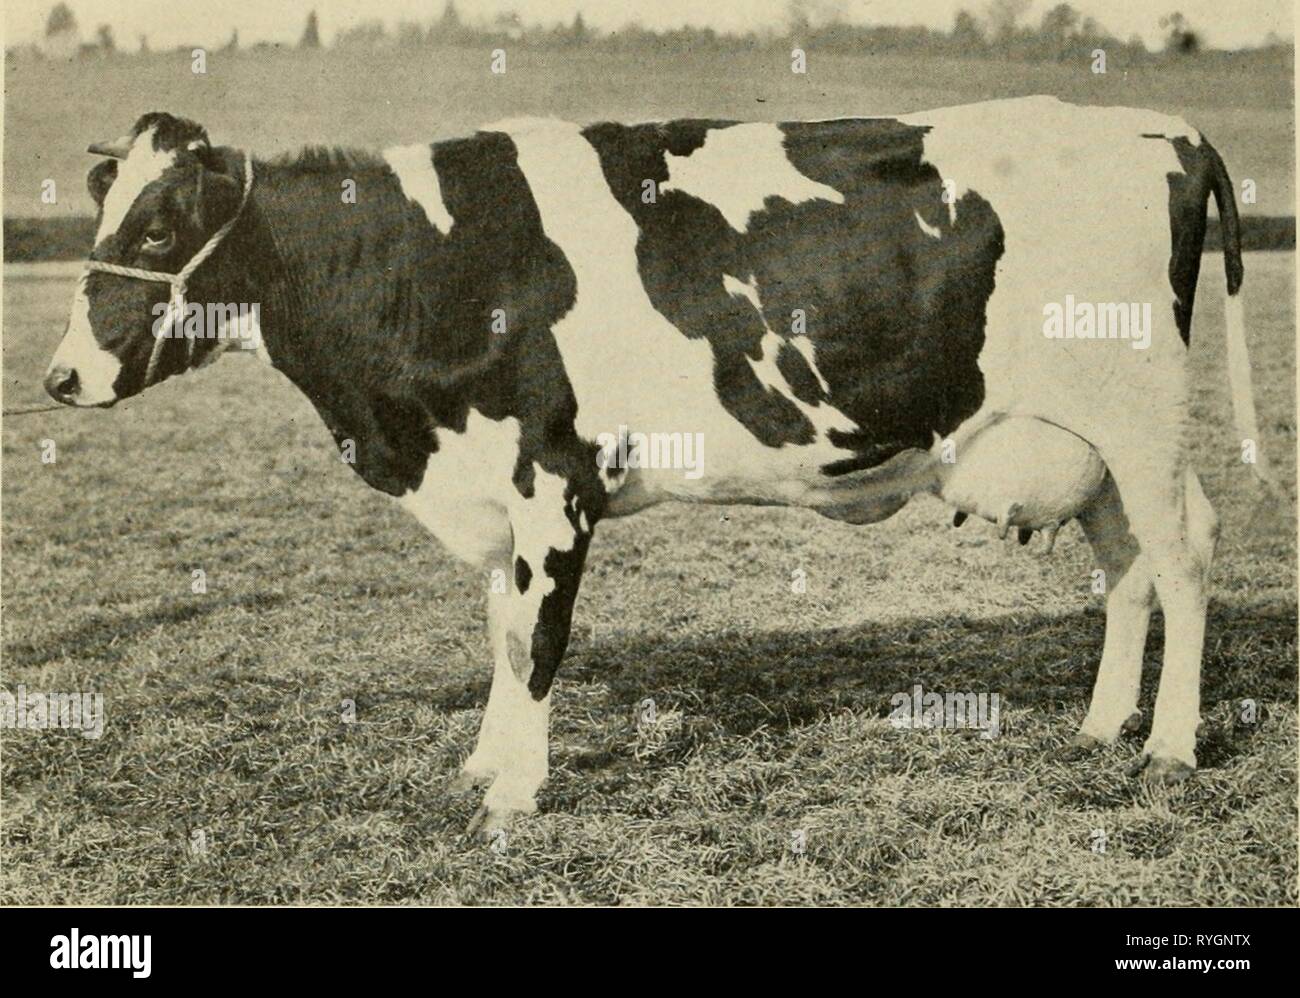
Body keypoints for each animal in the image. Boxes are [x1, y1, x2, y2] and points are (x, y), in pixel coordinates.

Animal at [44, 98, 1269, 837]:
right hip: (1087, 445)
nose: (59, 377)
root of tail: (1163, 129)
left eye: (158, 234)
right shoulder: (493, 489)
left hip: (1143, 418)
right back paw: (1101, 727)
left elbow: (535, 642)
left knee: (1184, 553)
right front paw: (484, 765)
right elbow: (498, 629)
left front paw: (515, 797)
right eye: (106, 214)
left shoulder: (551, 480)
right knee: (1126, 567)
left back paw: (1169, 749)